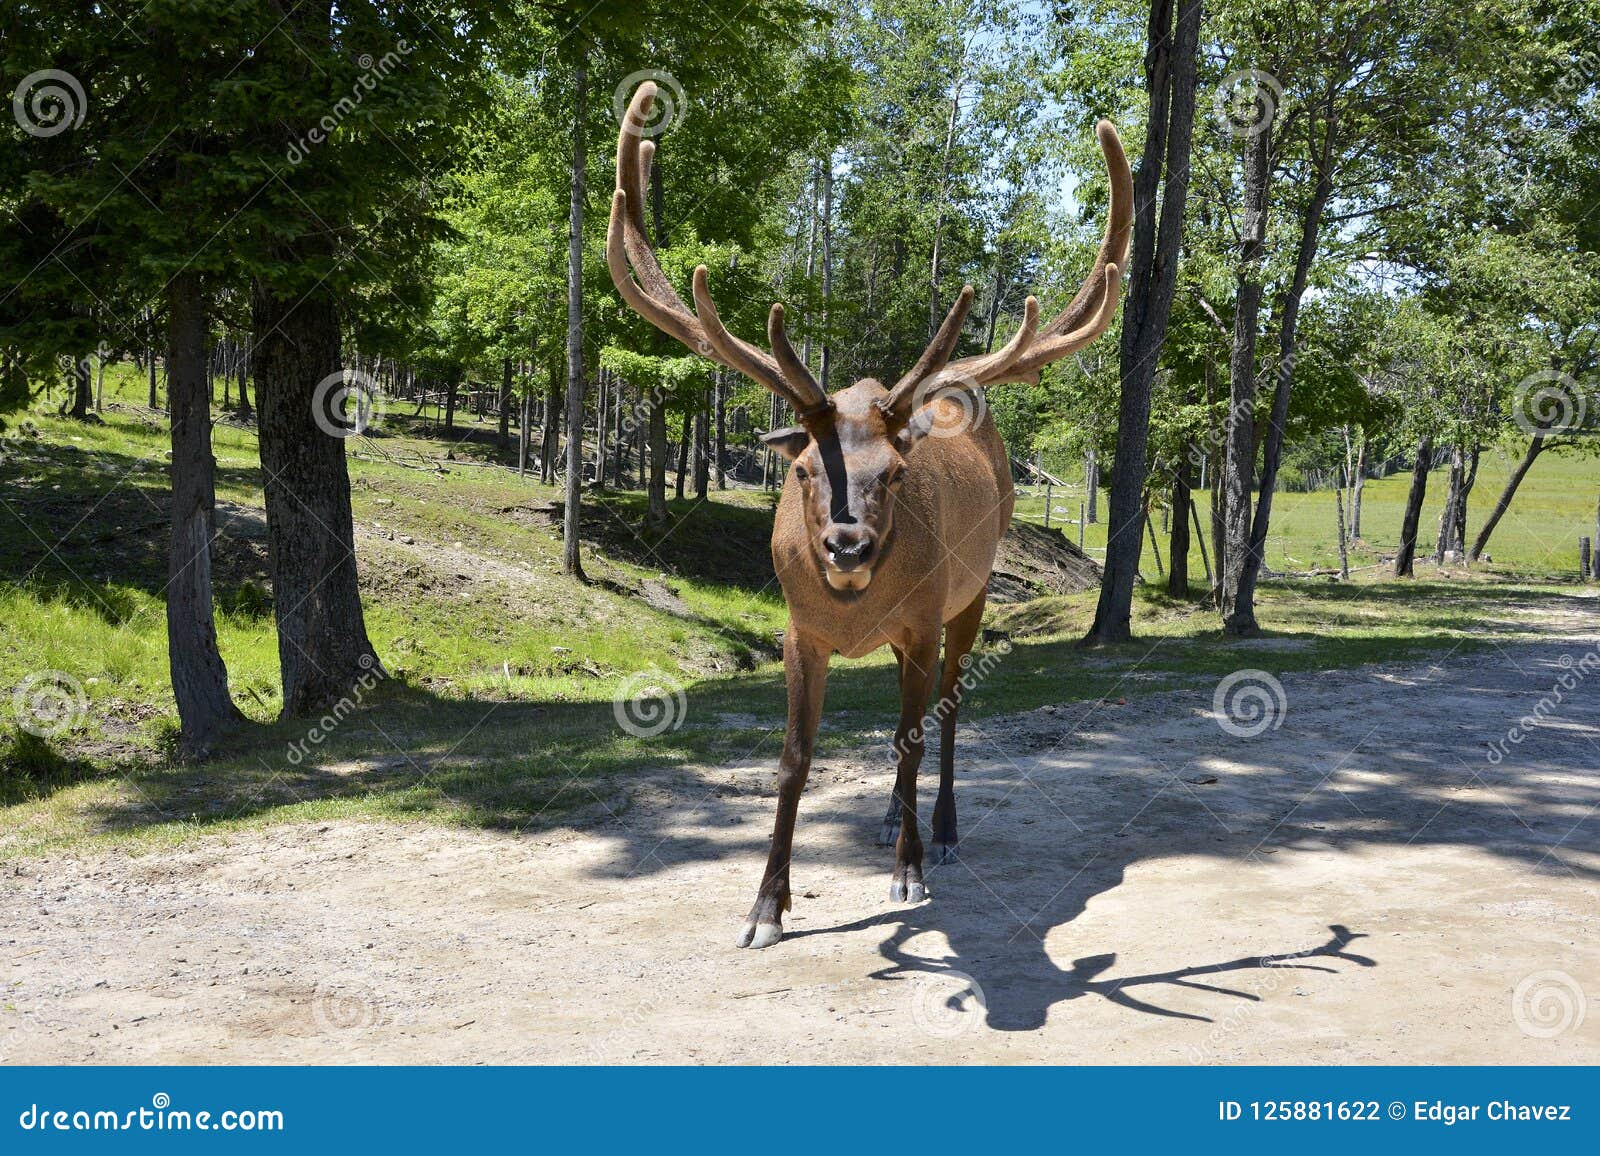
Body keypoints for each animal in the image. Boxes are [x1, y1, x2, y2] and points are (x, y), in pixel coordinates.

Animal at [608, 81, 1132, 949]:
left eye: (893, 472)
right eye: (804, 469)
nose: (847, 548)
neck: (850, 609)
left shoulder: (921, 619)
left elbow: (915, 734)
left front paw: (909, 872)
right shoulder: (799, 629)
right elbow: (794, 759)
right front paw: (765, 906)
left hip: (970, 595)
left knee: (944, 714)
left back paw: (937, 831)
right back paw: (891, 816)